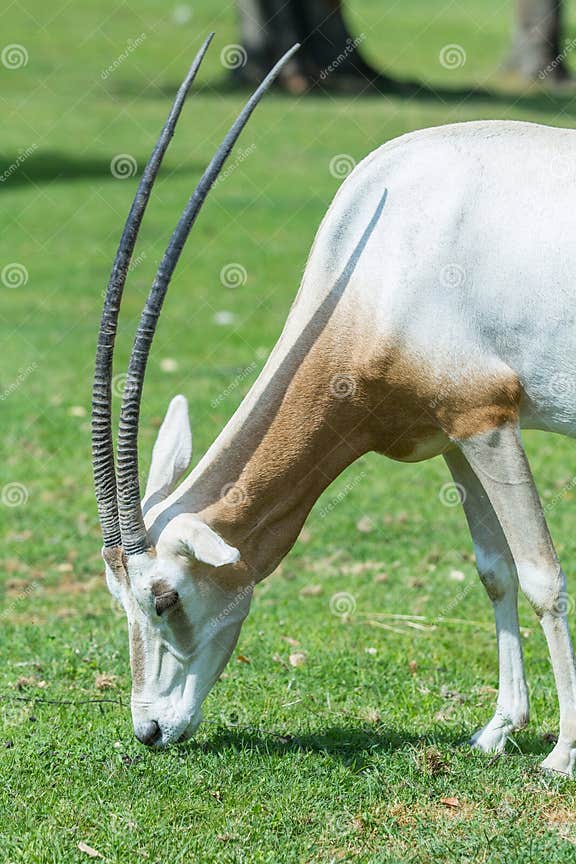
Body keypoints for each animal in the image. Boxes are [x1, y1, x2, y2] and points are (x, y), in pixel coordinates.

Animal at [92, 34, 576, 776]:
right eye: (117, 596)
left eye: (164, 597)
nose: (148, 729)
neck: (379, 264)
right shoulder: (452, 432)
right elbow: (494, 571)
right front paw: (498, 729)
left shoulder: (489, 420)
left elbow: (542, 576)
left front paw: (561, 753)